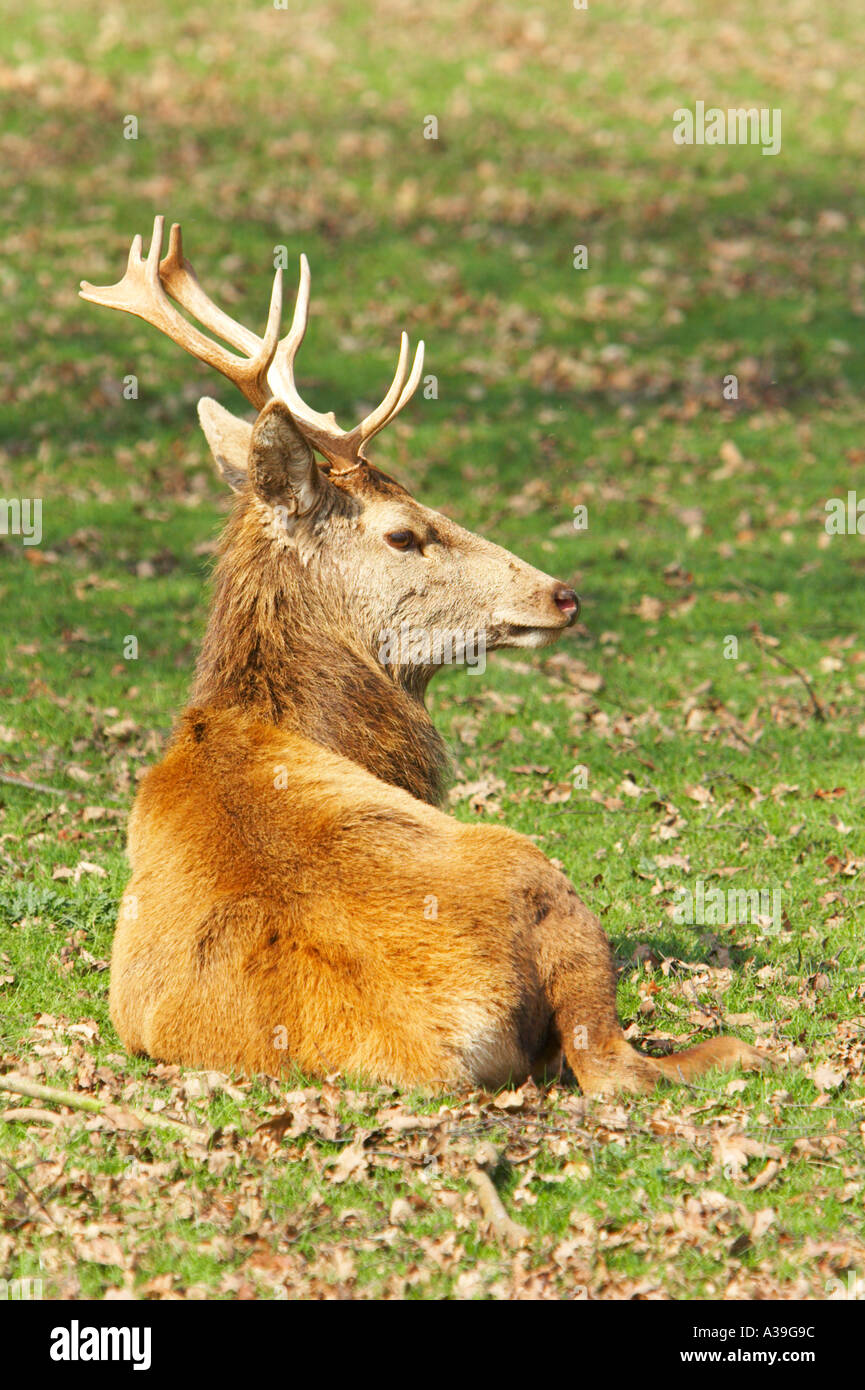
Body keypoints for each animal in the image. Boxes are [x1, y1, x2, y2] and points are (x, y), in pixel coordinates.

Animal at [79, 217, 769, 1096]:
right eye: (405, 532)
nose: (561, 594)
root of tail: (439, 1041)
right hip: (533, 870)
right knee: (613, 1063)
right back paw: (739, 1048)